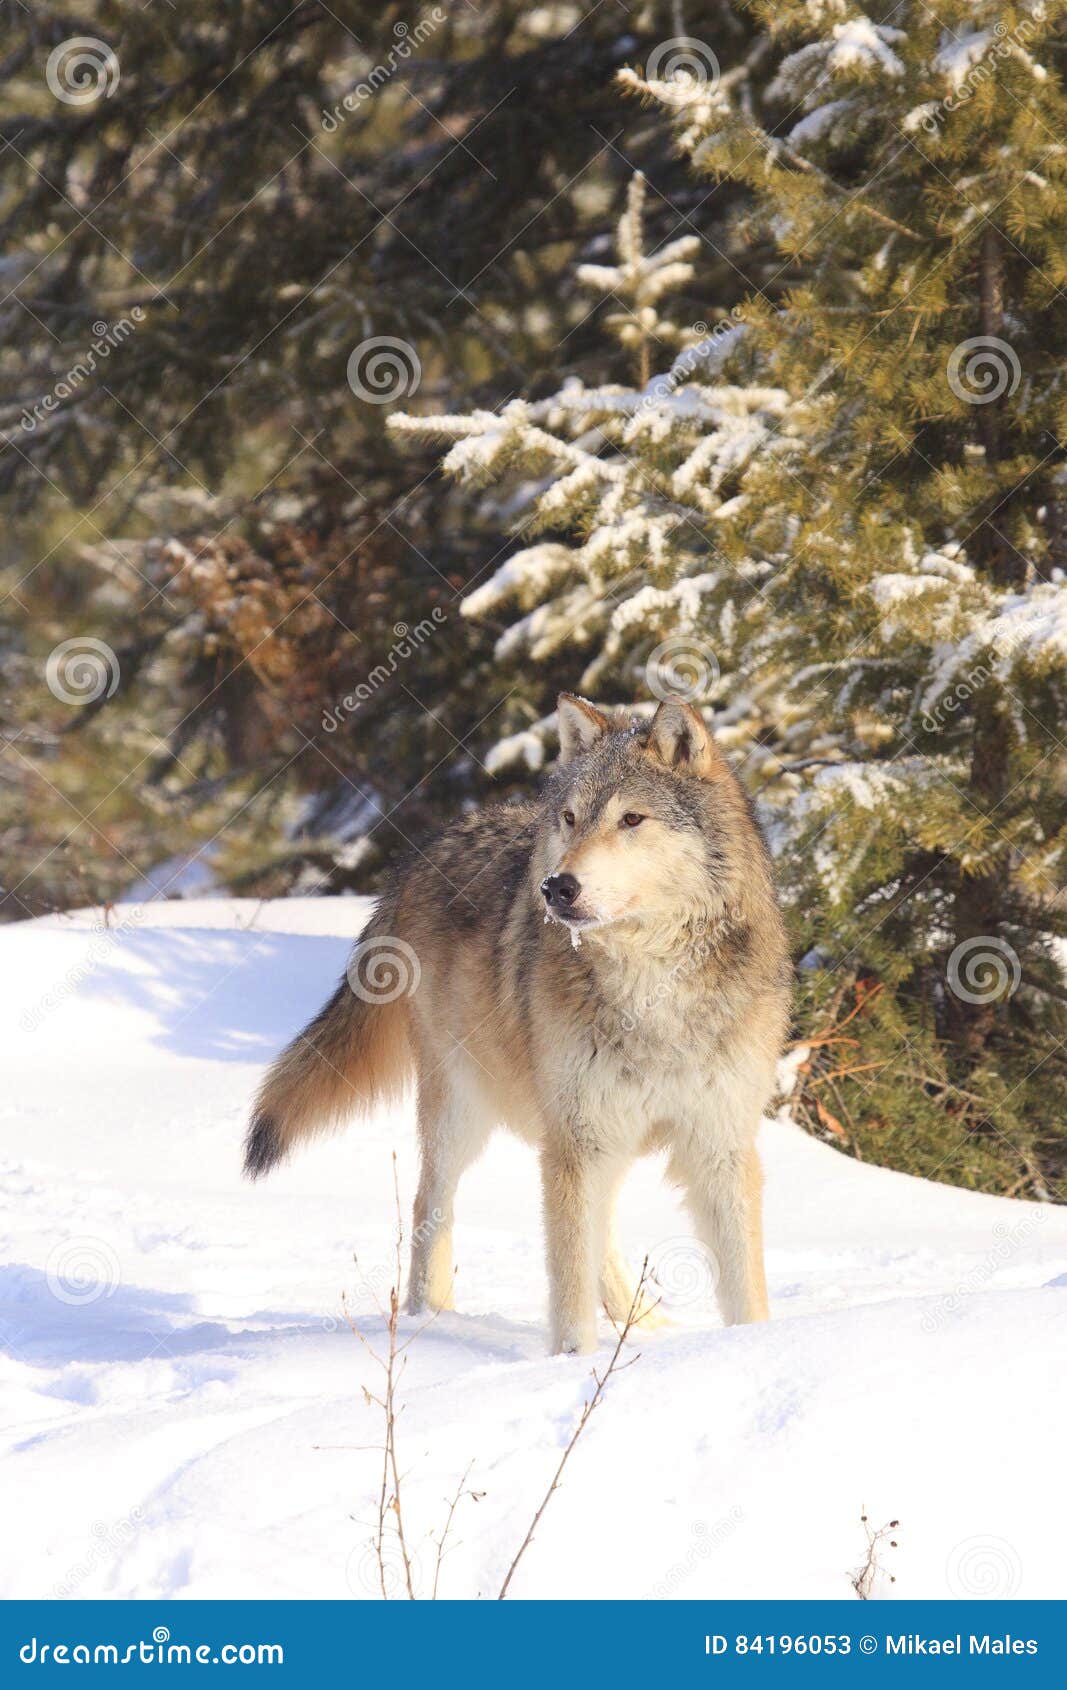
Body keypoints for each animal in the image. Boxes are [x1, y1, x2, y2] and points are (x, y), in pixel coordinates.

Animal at [245, 695, 792, 1354]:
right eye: (571, 818)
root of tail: (421, 852)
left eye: (632, 819)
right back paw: (434, 1318)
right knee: (430, 1205)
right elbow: (569, 1287)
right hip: (468, 1112)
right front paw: (575, 1362)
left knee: (598, 1230)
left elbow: (743, 1286)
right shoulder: (577, 1138)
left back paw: (643, 1324)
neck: (654, 990)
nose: (557, 887)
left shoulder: (718, 1144)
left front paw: (751, 1347)